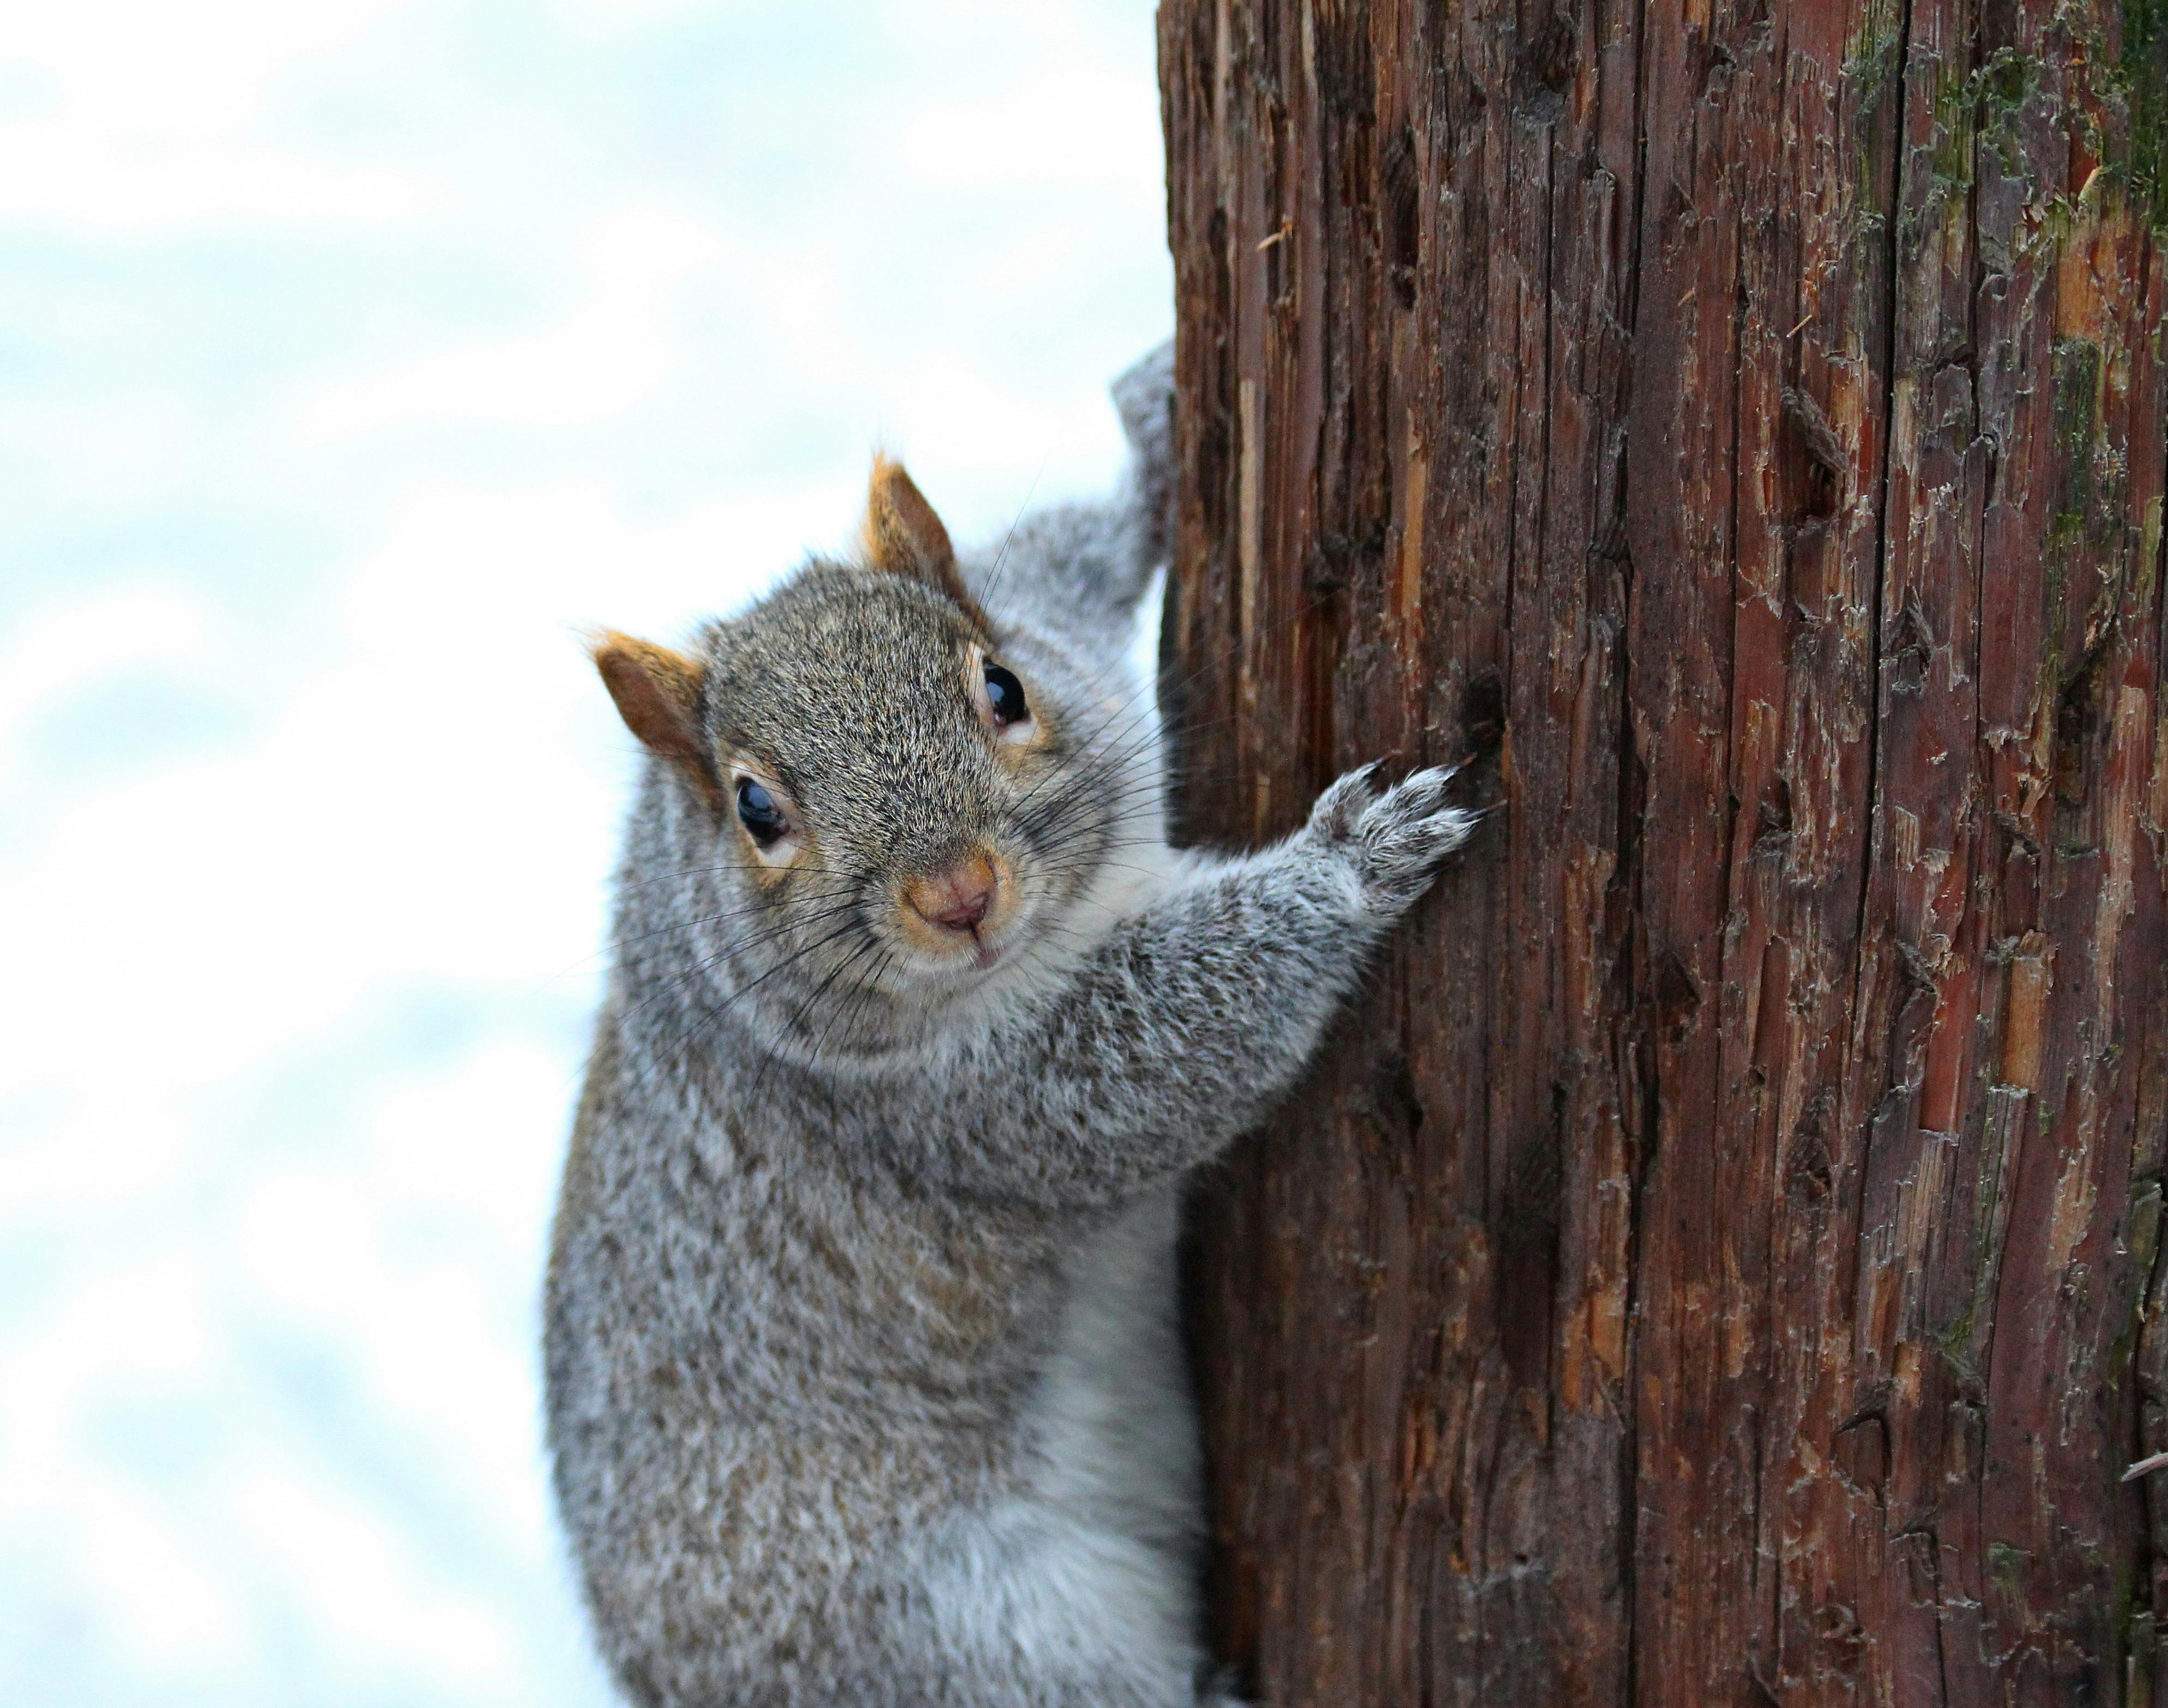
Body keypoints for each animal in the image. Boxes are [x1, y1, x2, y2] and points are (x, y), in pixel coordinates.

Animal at [544, 343, 1476, 1708]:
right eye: (756, 809)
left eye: (1000, 686)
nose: (956, 894)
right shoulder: (943, 1109)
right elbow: (1151, 1057)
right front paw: (1347, 864)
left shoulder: (1053, 622)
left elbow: (1063, 555)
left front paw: (1147, 442)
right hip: (969, 1637)